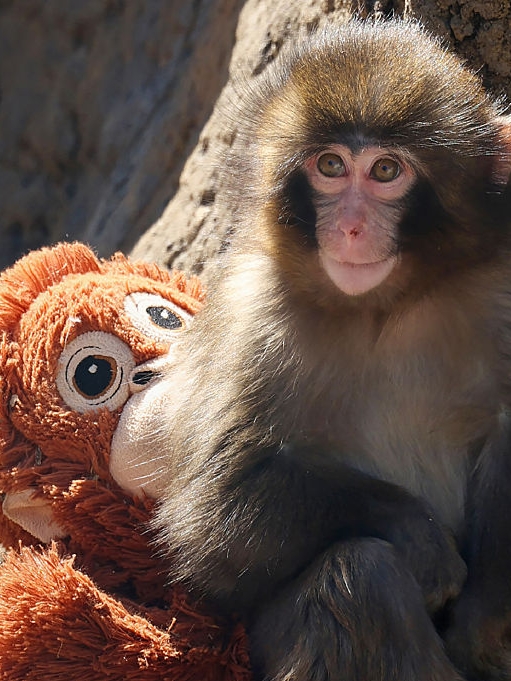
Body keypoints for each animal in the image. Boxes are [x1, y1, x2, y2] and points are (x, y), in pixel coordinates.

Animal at [136, 19, 511, 681]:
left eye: (385, 171)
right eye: (331, 165)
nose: (352, 228)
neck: (384, 308)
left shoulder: (500, 284)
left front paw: (485, 621)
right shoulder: (254, 313)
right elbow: (215, 510)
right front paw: (418, 535)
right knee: (361, 575)